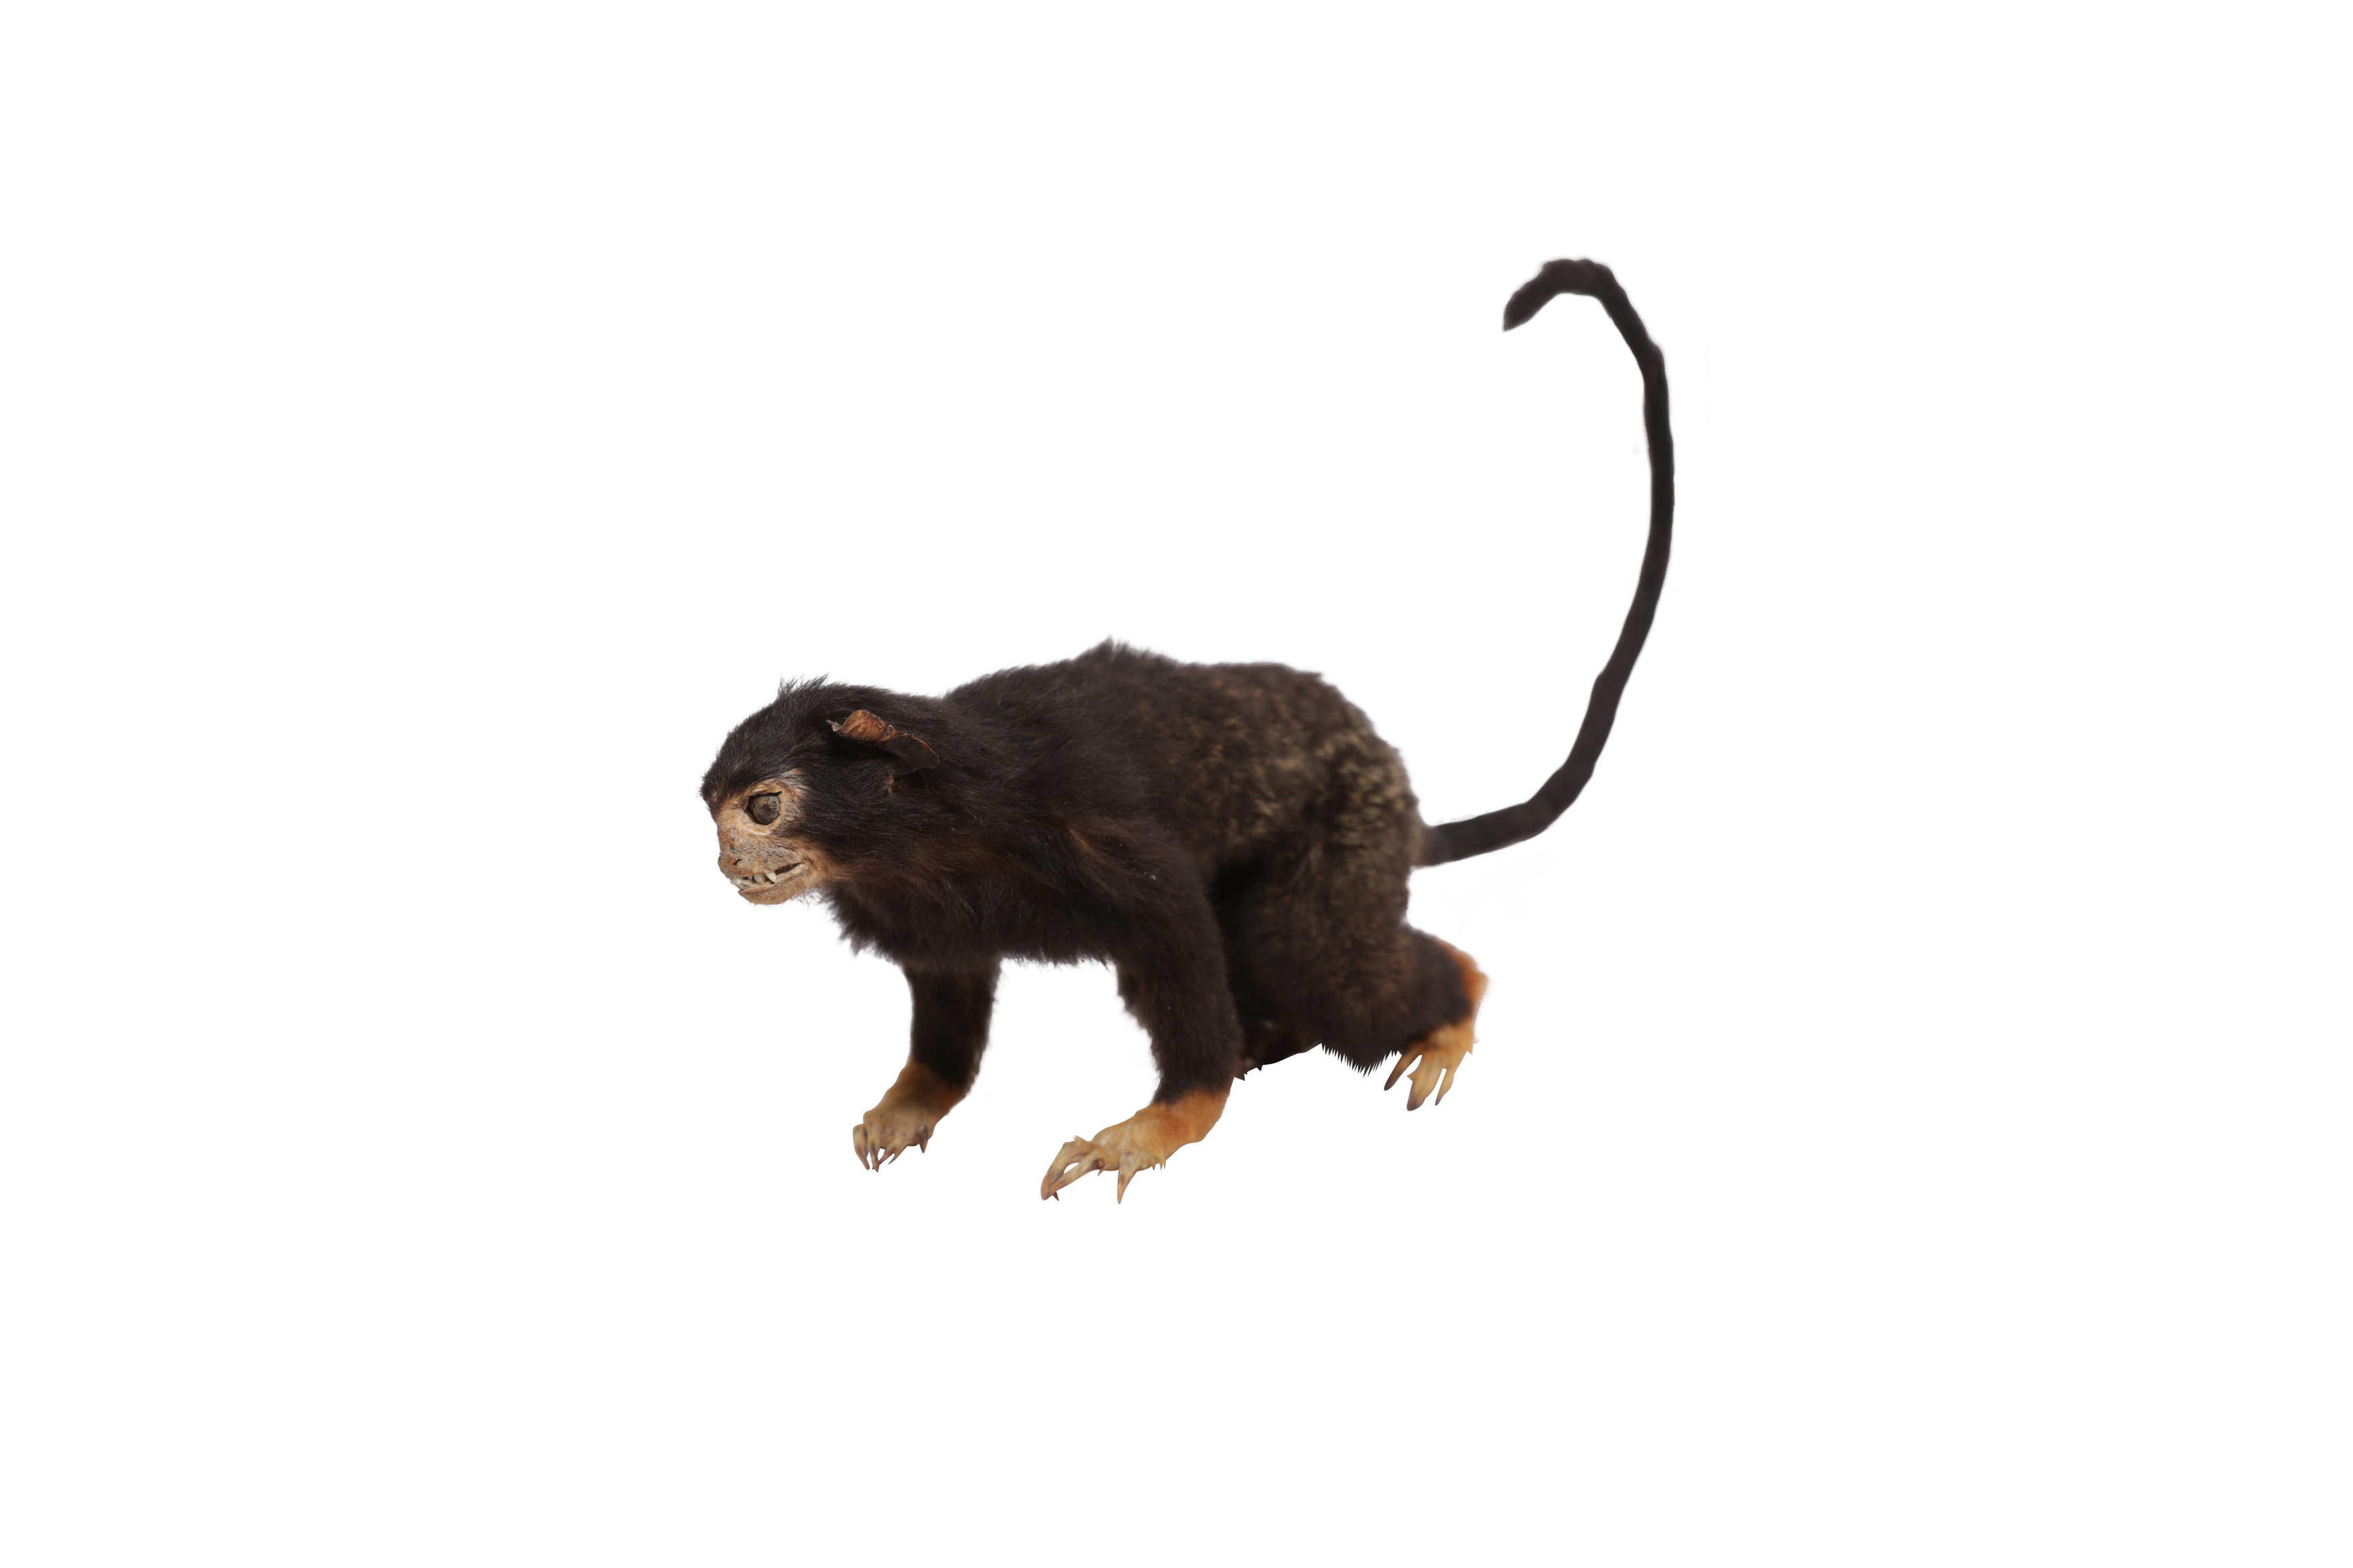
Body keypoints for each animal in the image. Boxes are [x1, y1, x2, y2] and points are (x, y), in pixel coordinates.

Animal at [700, 259, 1672, 1202]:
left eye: (762, 807)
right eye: (713, 811)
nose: (726, 857)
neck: (913, 833)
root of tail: (1399, 802)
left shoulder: (1068, 829)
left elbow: (1174, 924)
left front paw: (1164, 1122)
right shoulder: (913, 902)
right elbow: (953, 981)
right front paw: (916, 1097)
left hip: (1345, 838)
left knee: (1320, 957)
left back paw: (1450, 1002)